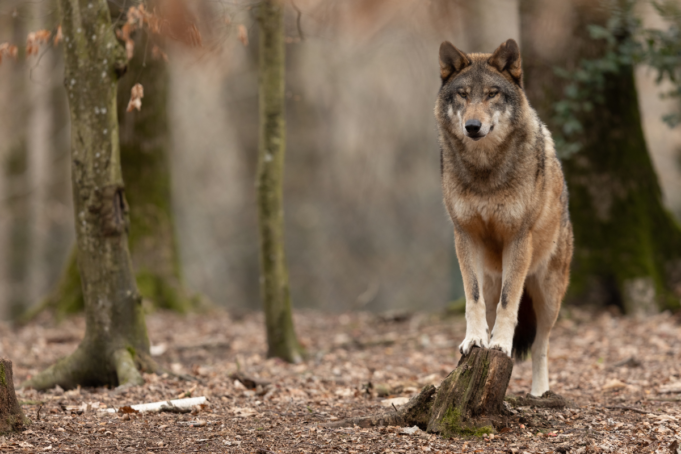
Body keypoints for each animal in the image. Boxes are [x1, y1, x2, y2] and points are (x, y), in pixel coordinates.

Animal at [435, 39, 573, 397]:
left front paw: (499, 345)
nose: (472, 126)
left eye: (492, 94)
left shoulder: (517, 238)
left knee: (541, 345)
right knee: (489, 303)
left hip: (547, 295)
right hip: (492, 277)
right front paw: (475, 341)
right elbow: (473, 300)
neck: (485, 172)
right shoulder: (464, 235)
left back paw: (539, 393)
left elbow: (509, 305)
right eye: (463, 94)